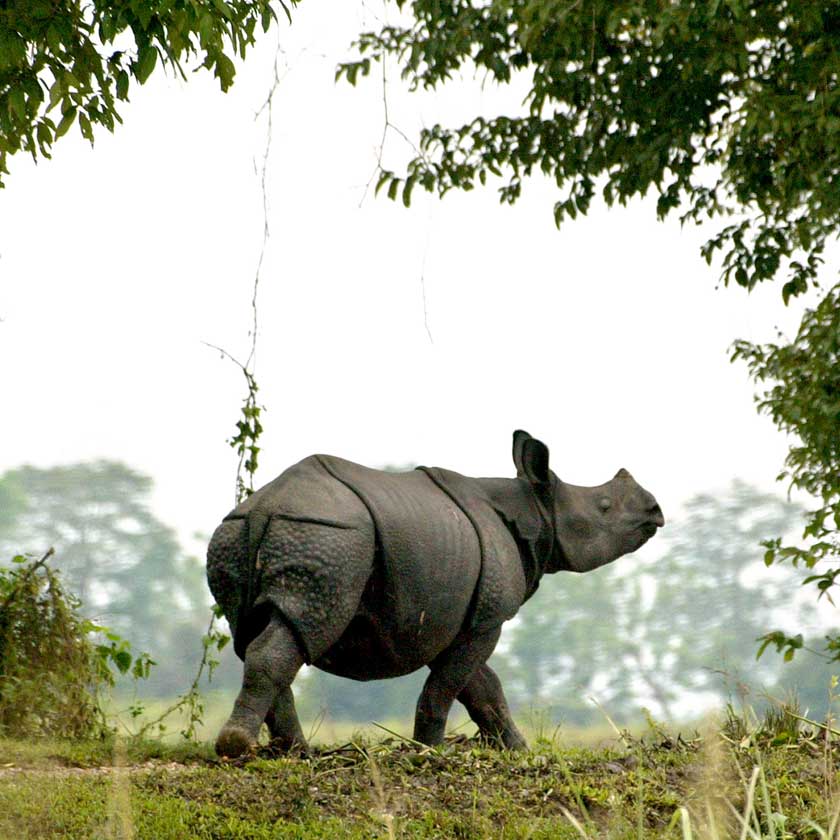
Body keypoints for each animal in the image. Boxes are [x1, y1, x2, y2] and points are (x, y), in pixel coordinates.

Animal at [207, 430, 664, 758]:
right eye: (604, 507)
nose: (655, 511)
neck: (538, 509)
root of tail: (265, 507)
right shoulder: (486, 618)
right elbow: (448, 685)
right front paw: (429, 751)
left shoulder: (459, 616)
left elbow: (483, 688)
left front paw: (518, 751)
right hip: (329, 536)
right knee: (303, 627)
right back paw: (240, 747)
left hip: (244, 535)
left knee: (260, 633)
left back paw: (293, 752)